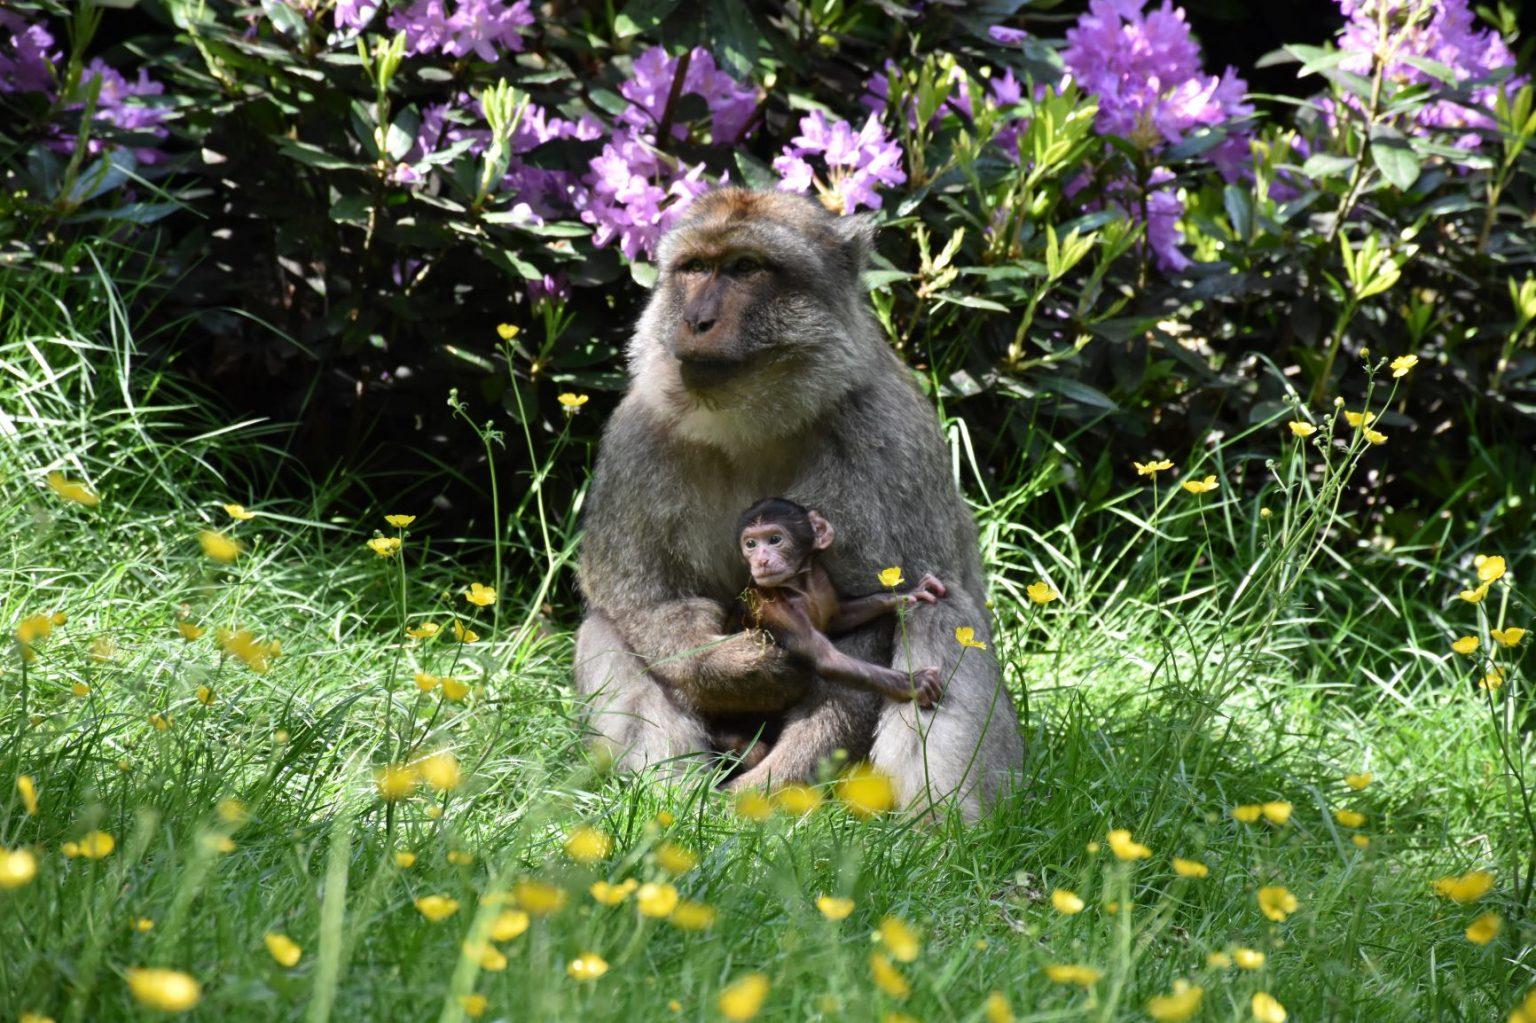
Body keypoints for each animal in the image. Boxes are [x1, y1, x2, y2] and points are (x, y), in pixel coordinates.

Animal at [572, 187, 1023, 821]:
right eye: (694, 268)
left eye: (745, 268)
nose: (695, 320)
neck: (753, 420)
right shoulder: (639, 437)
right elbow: (648, 602)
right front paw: (737, 669)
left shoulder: (881, 439)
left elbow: (869, 618)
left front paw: (773, 786)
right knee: (605, 630)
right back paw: (672, 803)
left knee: (940, 611)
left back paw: (942, 832)